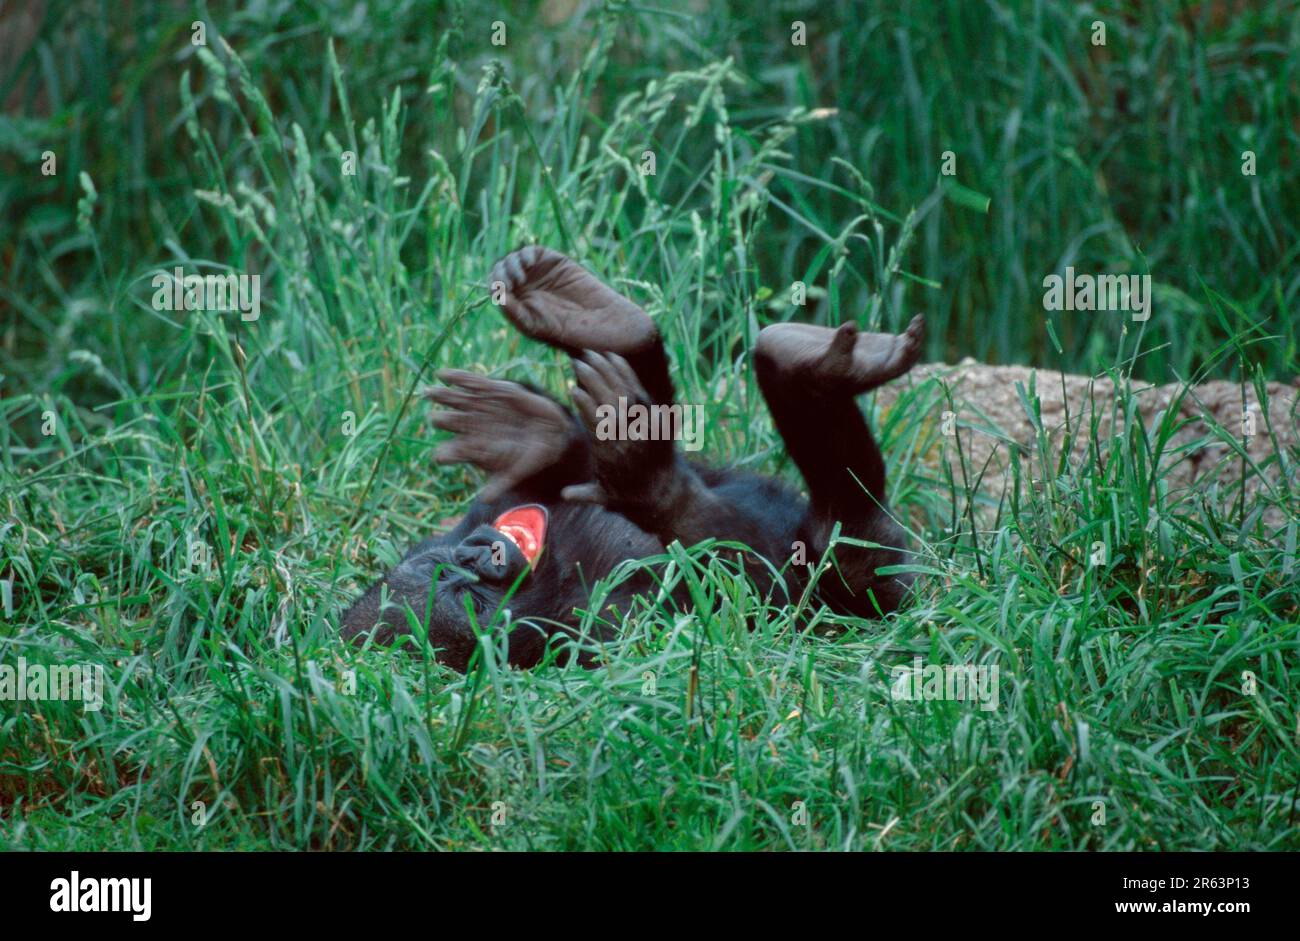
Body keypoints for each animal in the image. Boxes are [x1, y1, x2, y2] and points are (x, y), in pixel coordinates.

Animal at [340, 246, 924, 672]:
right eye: (470, 600)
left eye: (452, 571)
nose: (484, 556)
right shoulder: (592, 630)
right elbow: (739, 590)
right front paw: (645, 476)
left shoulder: (474, 516)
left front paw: (533, 435)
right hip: (880, 585)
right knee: (841, 543)